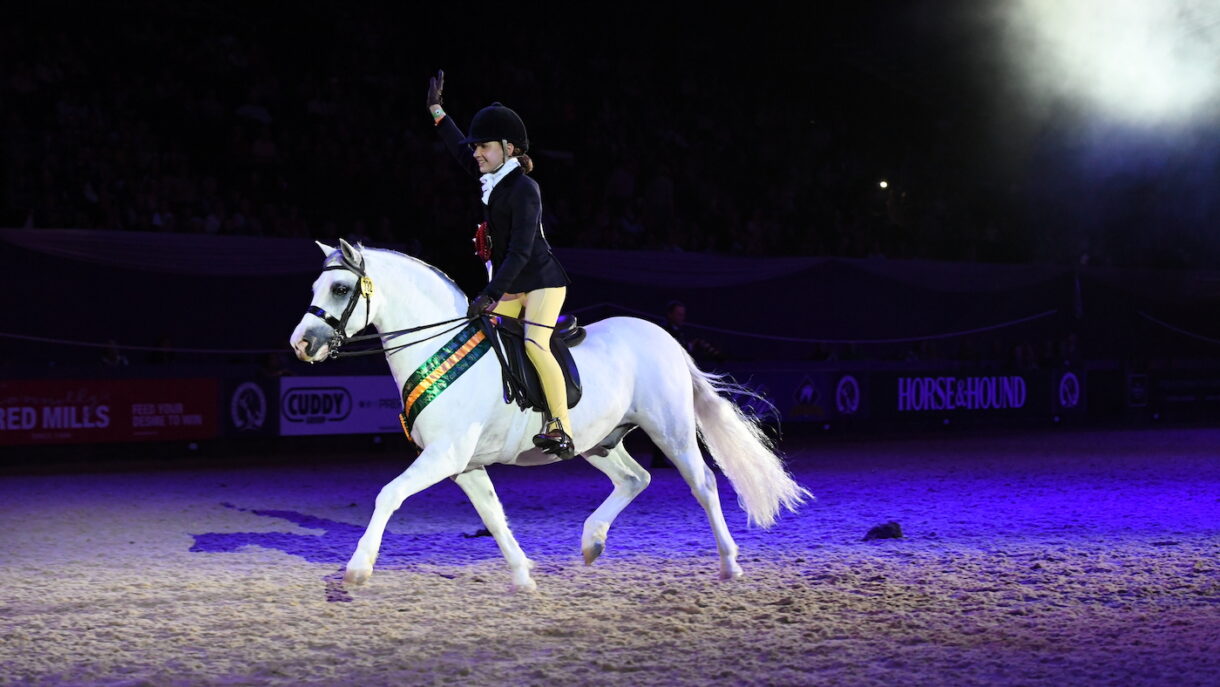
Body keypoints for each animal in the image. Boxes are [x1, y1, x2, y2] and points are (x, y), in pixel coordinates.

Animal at [289, 239, 811, 590]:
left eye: (340, 288)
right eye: (315, 285)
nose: (302, 344)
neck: (440, 345)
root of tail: (665, 336)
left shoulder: (444, 455)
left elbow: (388, 494)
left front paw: (358, 569)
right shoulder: (463, 464)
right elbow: (493, 515)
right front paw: (523, 576)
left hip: (673, 432)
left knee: (703, 484)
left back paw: (730, 563)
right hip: (599, 441)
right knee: (635, 478)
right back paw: (592, 543)